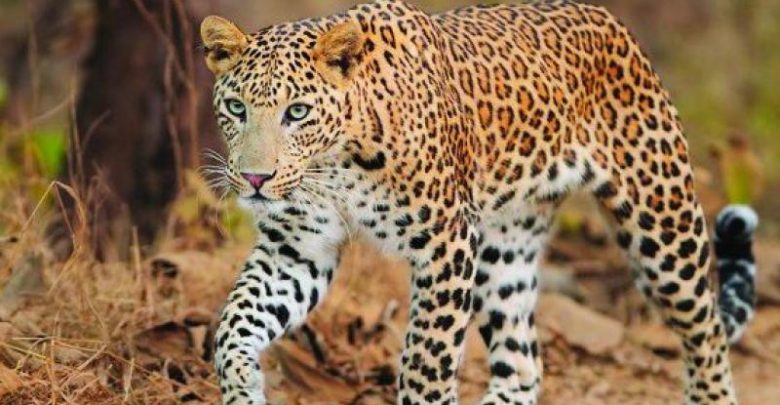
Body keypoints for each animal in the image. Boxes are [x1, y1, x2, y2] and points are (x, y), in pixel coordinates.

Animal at [199, 1, 759, 404]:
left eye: (297, 112)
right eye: (236, 108)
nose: (255, 178)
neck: (335, 162)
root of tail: (613, 22)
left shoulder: (444, 245)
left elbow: (426, 363)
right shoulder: (296, 249)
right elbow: (233, 326)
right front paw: (244, 389)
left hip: (661, 220)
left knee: (706, 328)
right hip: (504, 245)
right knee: (524, 363)